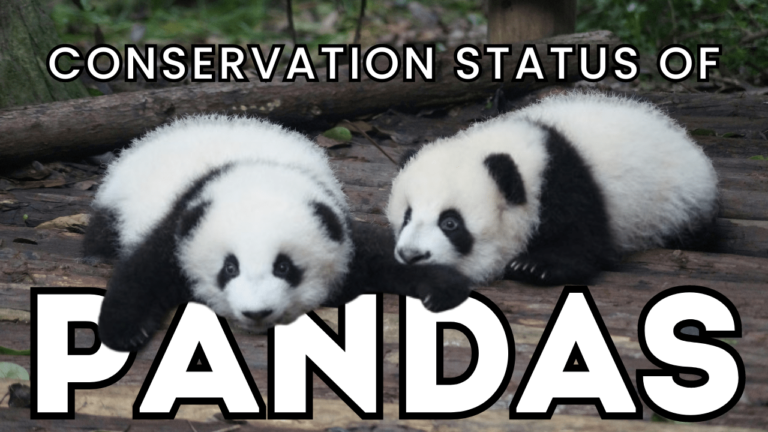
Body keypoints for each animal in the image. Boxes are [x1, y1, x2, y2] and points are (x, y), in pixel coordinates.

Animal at [85, 115, 473, 352]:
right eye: (229, 268)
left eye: (284, 267)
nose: (257, 313)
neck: (258, 170)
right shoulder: (183, 222)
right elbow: (143, 271)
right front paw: (123, 331)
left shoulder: (337, 226)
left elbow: (383, 254)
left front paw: (442, 287)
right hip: (116, 203)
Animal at [386, 91, 718, 286]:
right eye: (406, 216)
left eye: (450, 223)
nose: (411, 255)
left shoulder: (565, 183)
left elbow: (582, 241)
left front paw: (533, 267)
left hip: (679, 204)